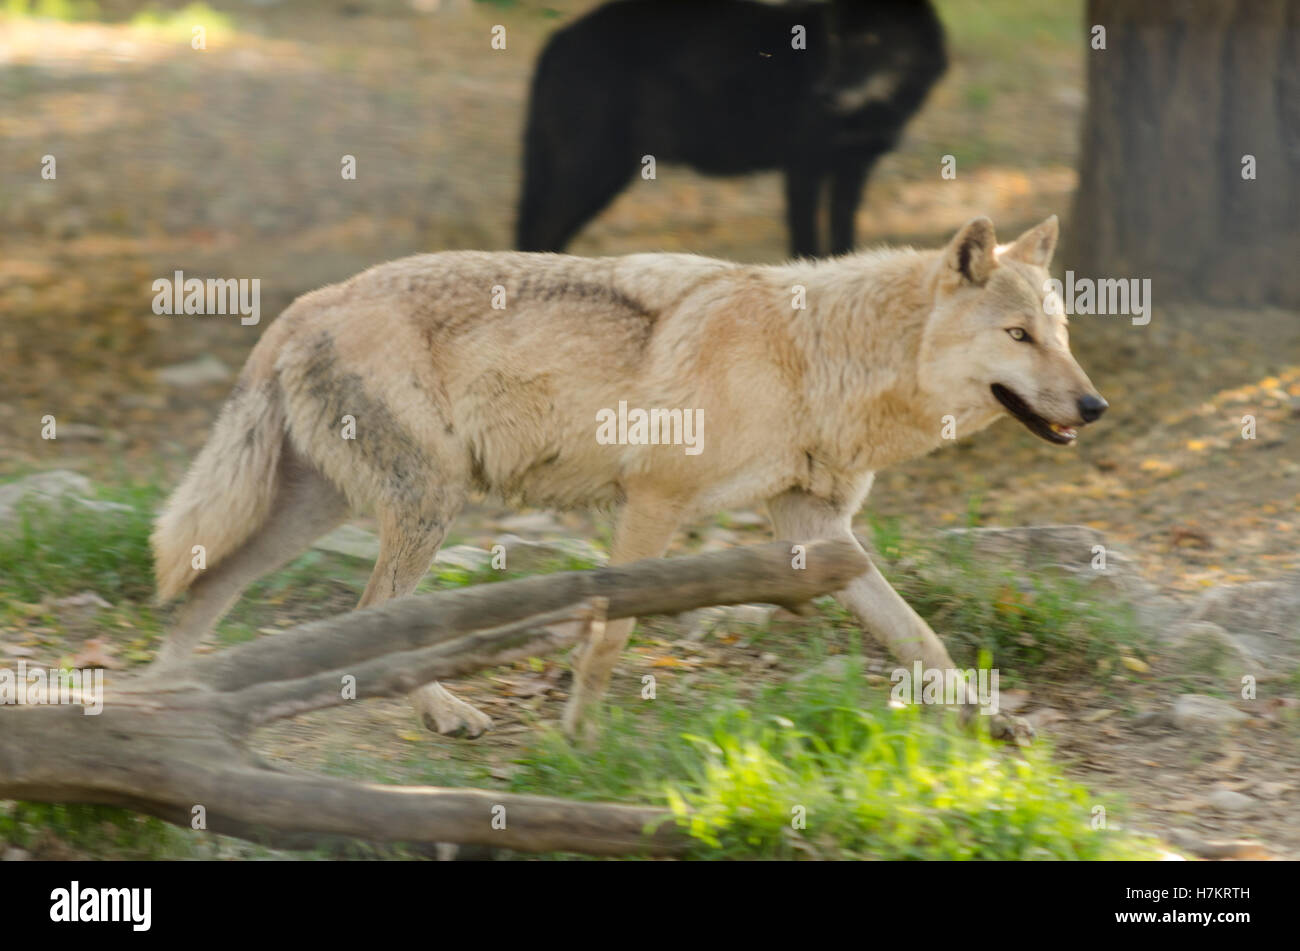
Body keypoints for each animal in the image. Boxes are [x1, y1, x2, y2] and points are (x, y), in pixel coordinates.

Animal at [150, 215, 1106, 740]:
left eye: (1061, 333)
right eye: (1018, 335)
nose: (1094, 404)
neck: (815, 356)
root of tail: (306, 302)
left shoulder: (815, 531)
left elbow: (923, 639)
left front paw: (990, 718)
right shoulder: (655, 504)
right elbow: (610, 633)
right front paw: (577, 734)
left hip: (315, 513)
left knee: (203, 590)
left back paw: (161, 706)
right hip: (428, 504)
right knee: (367, 607)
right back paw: (439, 711)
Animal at [516, 0, 947, 257]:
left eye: (872, 38)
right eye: (838, 37)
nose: (823, 93)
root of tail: (559, 37)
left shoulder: (851, 173)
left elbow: (842, 241)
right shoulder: (803, 169)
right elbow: (806, 244)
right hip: (595, 172)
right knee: (539, 233)